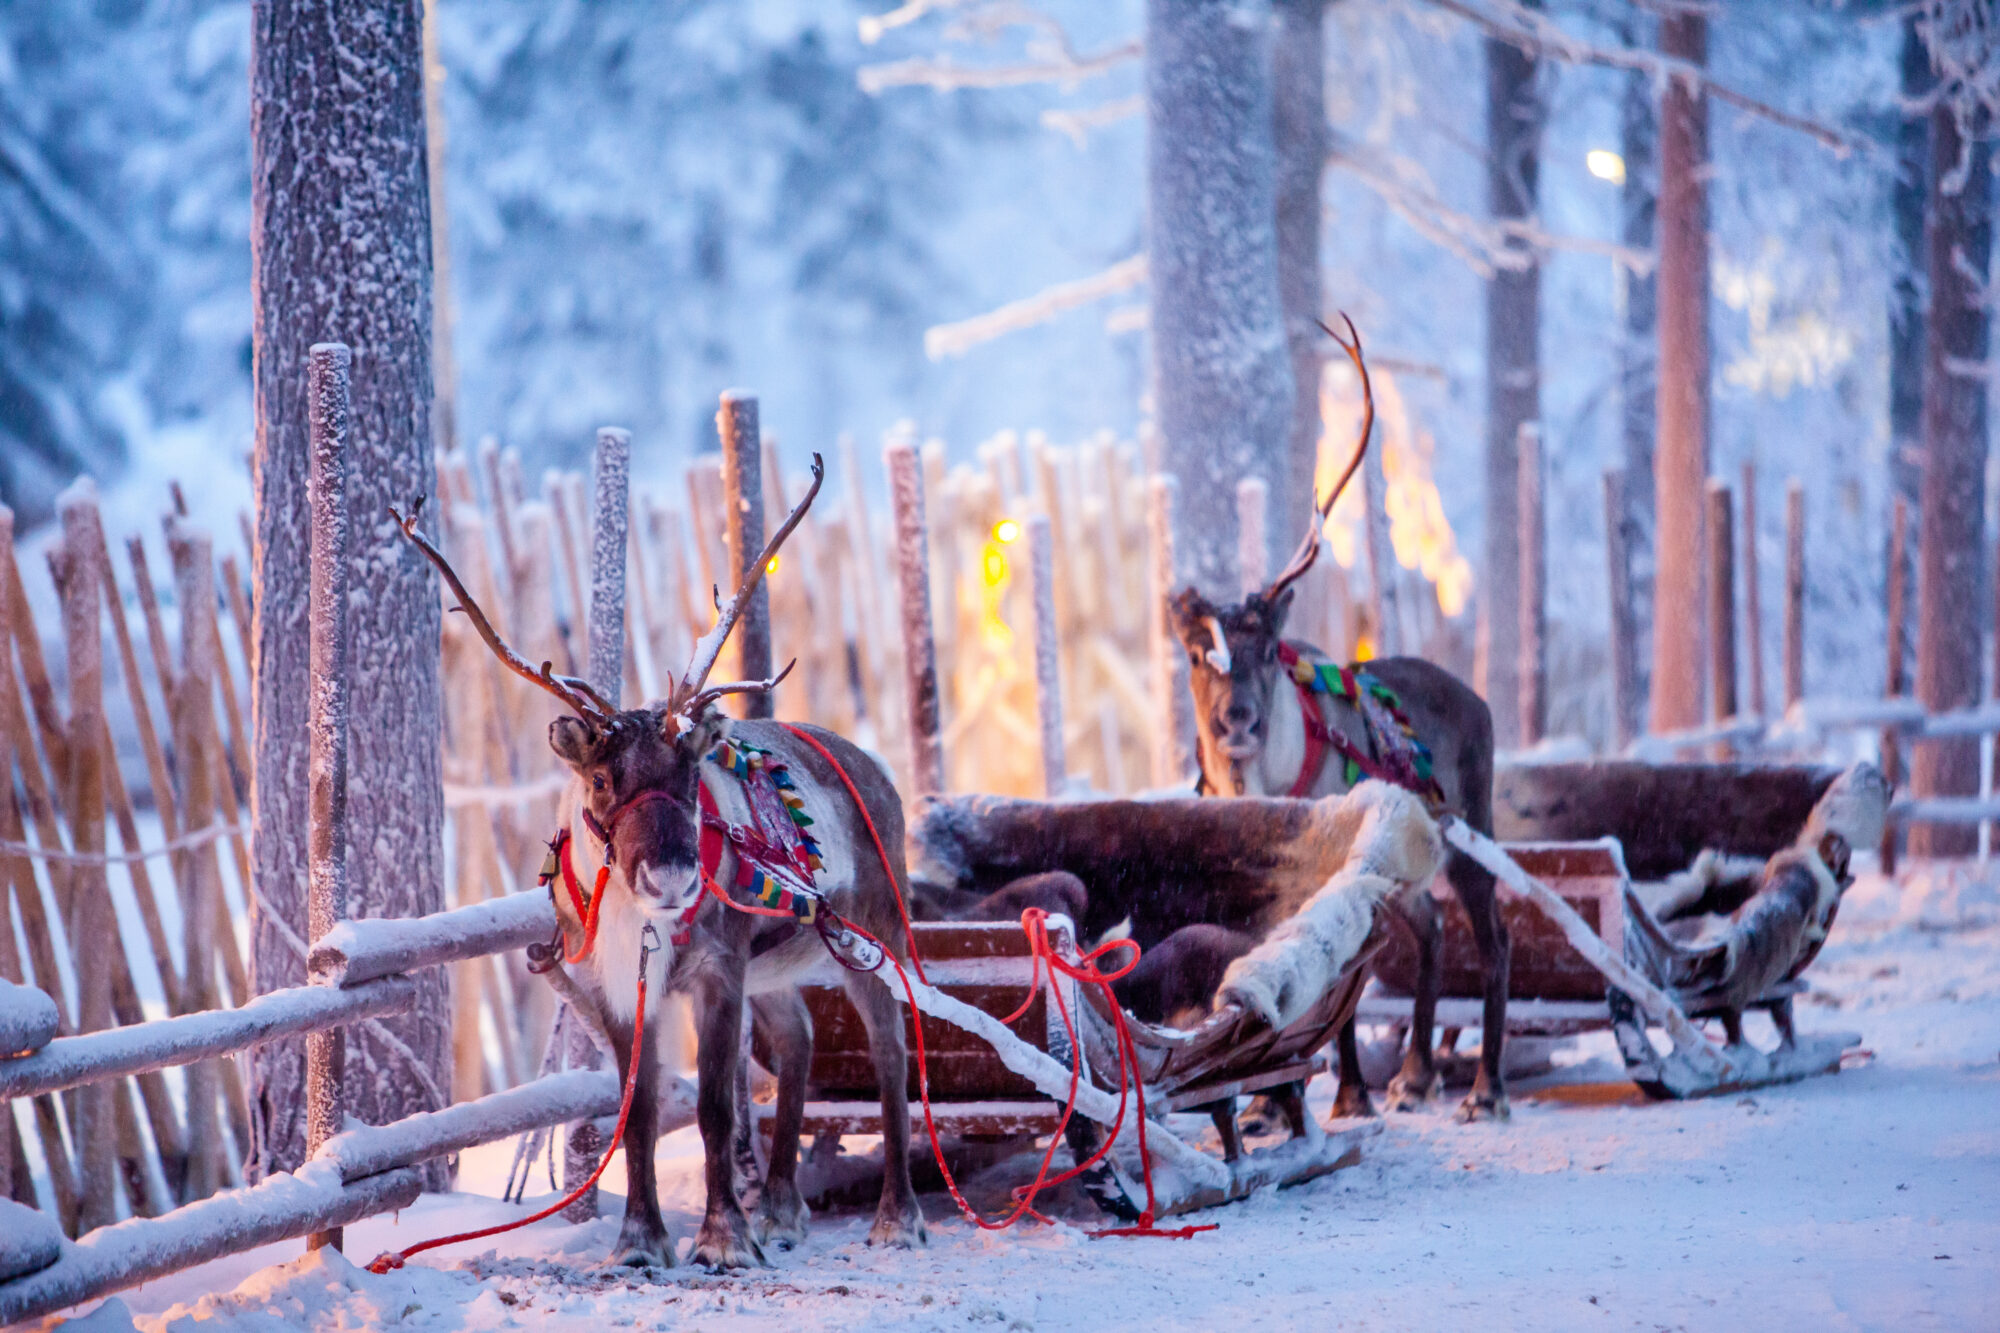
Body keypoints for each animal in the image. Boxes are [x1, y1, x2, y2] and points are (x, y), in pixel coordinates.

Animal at [392, 455, 928, 1270]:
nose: (671, 879)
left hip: (872, 935)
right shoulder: (614, 984)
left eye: (689, 773)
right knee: (799, 1037)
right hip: (777, 965)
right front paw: (641, 1239)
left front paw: (723, 1238)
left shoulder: (717, 969)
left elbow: (712, 1108)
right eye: (600, 778)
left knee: (890, 1050)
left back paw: (897, 1216)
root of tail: (879, 770)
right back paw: (781, 1210)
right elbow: (637, 1112)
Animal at [1166, 318, 1512, 1123]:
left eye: (1267, 646)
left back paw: (1484, 1087)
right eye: (1198, 652)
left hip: (1470, 831)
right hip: (1410, 868)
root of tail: (1475, 697)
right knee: (1434, 930)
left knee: (1493, 937)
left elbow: (1339, 991)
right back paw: (1414, 1075)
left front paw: (1349, 1094)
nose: (1236, 721)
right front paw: (1265, 1104)